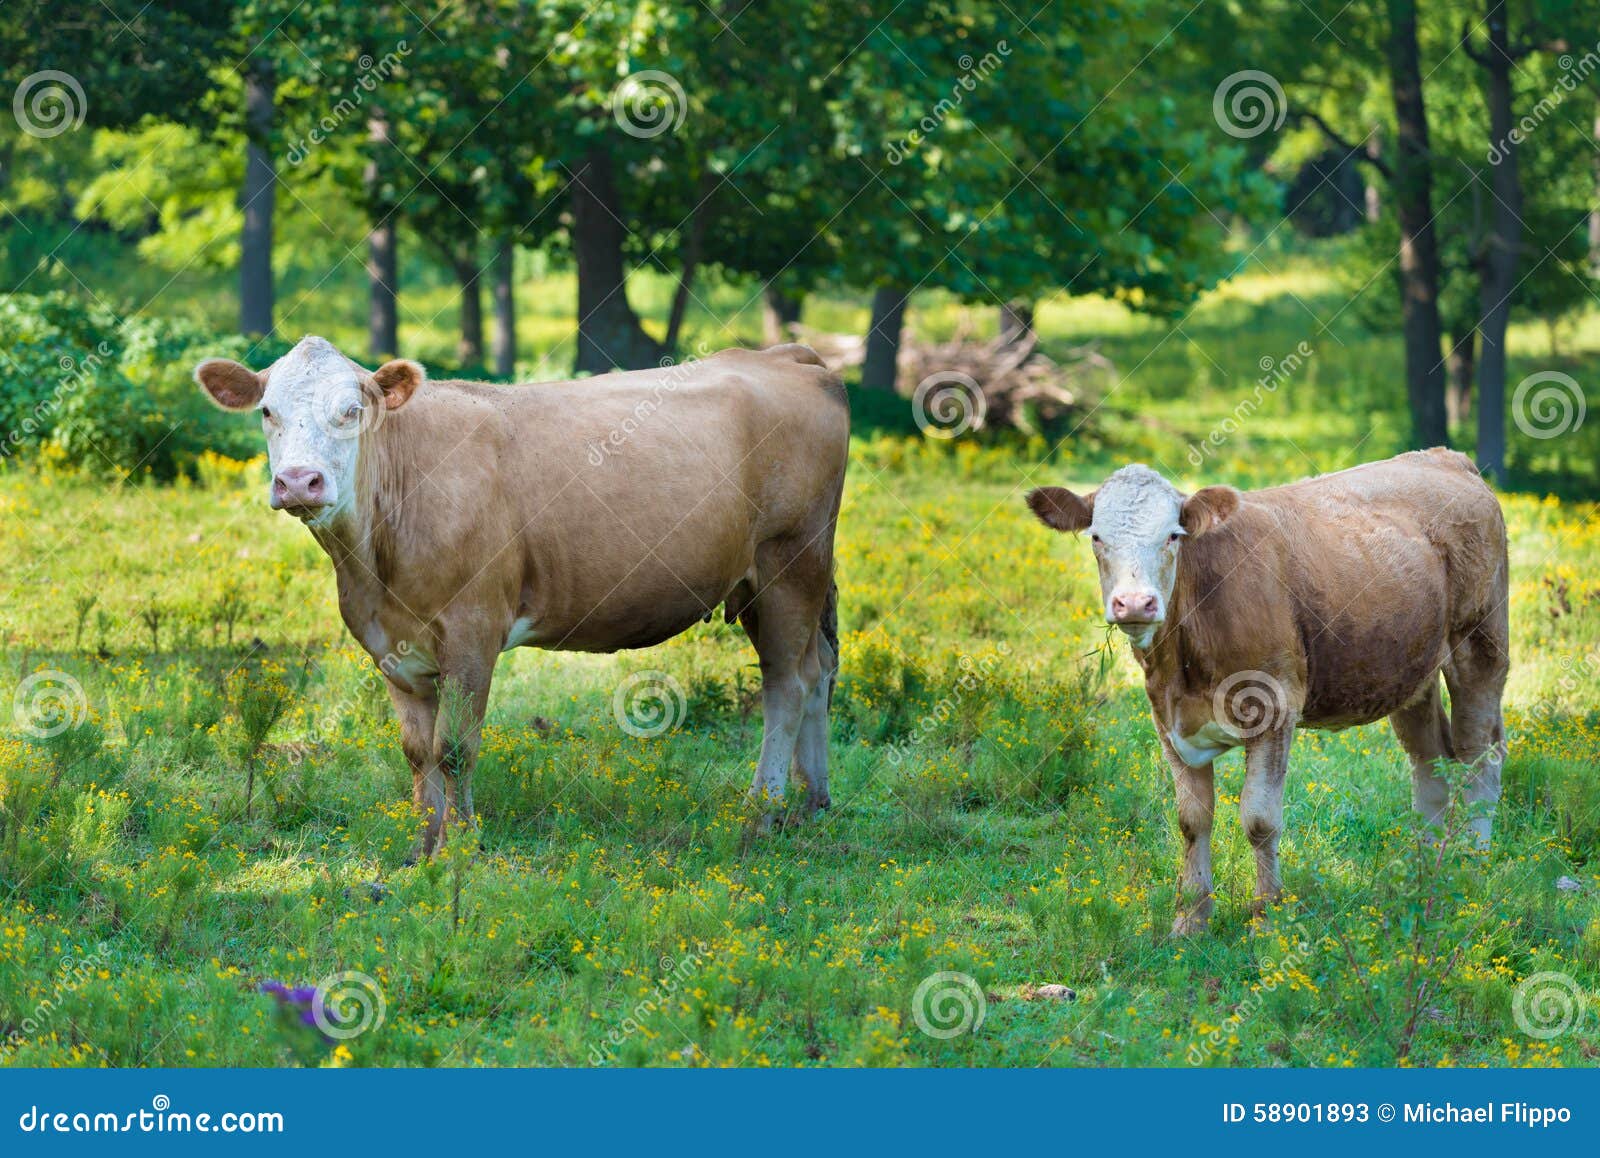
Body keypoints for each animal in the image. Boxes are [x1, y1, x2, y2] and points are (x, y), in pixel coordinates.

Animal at [195, 336, 848, 853]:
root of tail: (783, 354)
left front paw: (461, 845)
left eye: (352, 410)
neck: (372, 565)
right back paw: (811, 802)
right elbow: (417, 749)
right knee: (819, 667)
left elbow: (454, 747)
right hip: (763, 580)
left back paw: (761, 813)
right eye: (268, 411)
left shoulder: (473, 627)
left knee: (788, 683)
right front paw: (423, 847)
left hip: (792, 562)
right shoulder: (391, 646)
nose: (298, 481)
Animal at [1025, 449, 1508, 934]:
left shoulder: (1275, 706)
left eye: (1173, 536)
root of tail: (1446, 458)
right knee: (1431, 762)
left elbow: (1259, 819)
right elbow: (1192, 819)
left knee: (1478, 757)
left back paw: (1471, 866)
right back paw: (1426, 869)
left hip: (1481, 646)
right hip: (1411, 670)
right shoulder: (1167, 720)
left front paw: (1267, 915)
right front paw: (1190, 920)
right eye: (1097, 537)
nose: (1135, 603)